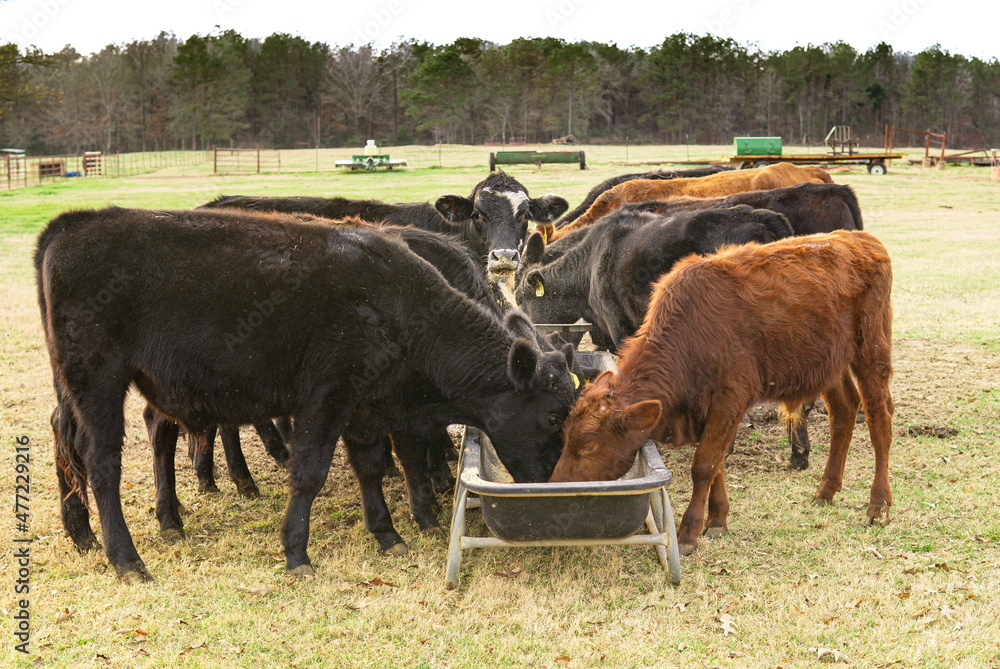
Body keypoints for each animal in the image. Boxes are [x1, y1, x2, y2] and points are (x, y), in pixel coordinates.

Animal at [37, 207, 576, 582]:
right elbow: (310, 472)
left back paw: (98, 531)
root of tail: (71, 225)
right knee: (101, 461)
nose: (554, 479)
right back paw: (127, 559)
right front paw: (297, 553)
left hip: (89, 386)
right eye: (553, 417)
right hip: (99, 382)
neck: (399, 304)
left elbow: (371, 468)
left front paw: (387, 534)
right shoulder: (326, 399)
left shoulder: (366, 409)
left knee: (80, 439)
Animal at [550, 230, 894, 558]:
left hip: (871, 351)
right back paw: (826, 491)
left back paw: (878, 505)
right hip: (830, 365)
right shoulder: (707, 411)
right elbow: (716, 465)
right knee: (844, 411)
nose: (557, 484)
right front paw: (717, 519)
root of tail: (863, 240)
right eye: (565, 435)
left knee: (879, 419)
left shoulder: (729, 401)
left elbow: (704, 464)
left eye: (589, 446)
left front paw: (688, 533)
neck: (694, 332)